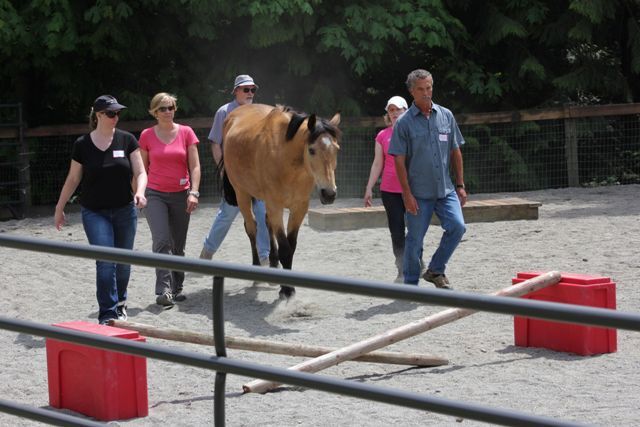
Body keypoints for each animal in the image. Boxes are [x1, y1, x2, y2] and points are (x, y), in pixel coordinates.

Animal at [221, 103, 341, 299]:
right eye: (312, 150)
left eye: (336, 149)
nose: (329, 193)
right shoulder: (276, 206)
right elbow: (285, 247)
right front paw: (287, 289)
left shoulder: (299, 208)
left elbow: (291, 245)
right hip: (242, 194)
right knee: (252, 228)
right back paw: (256, 267)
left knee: (266, 224)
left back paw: (273, 263)